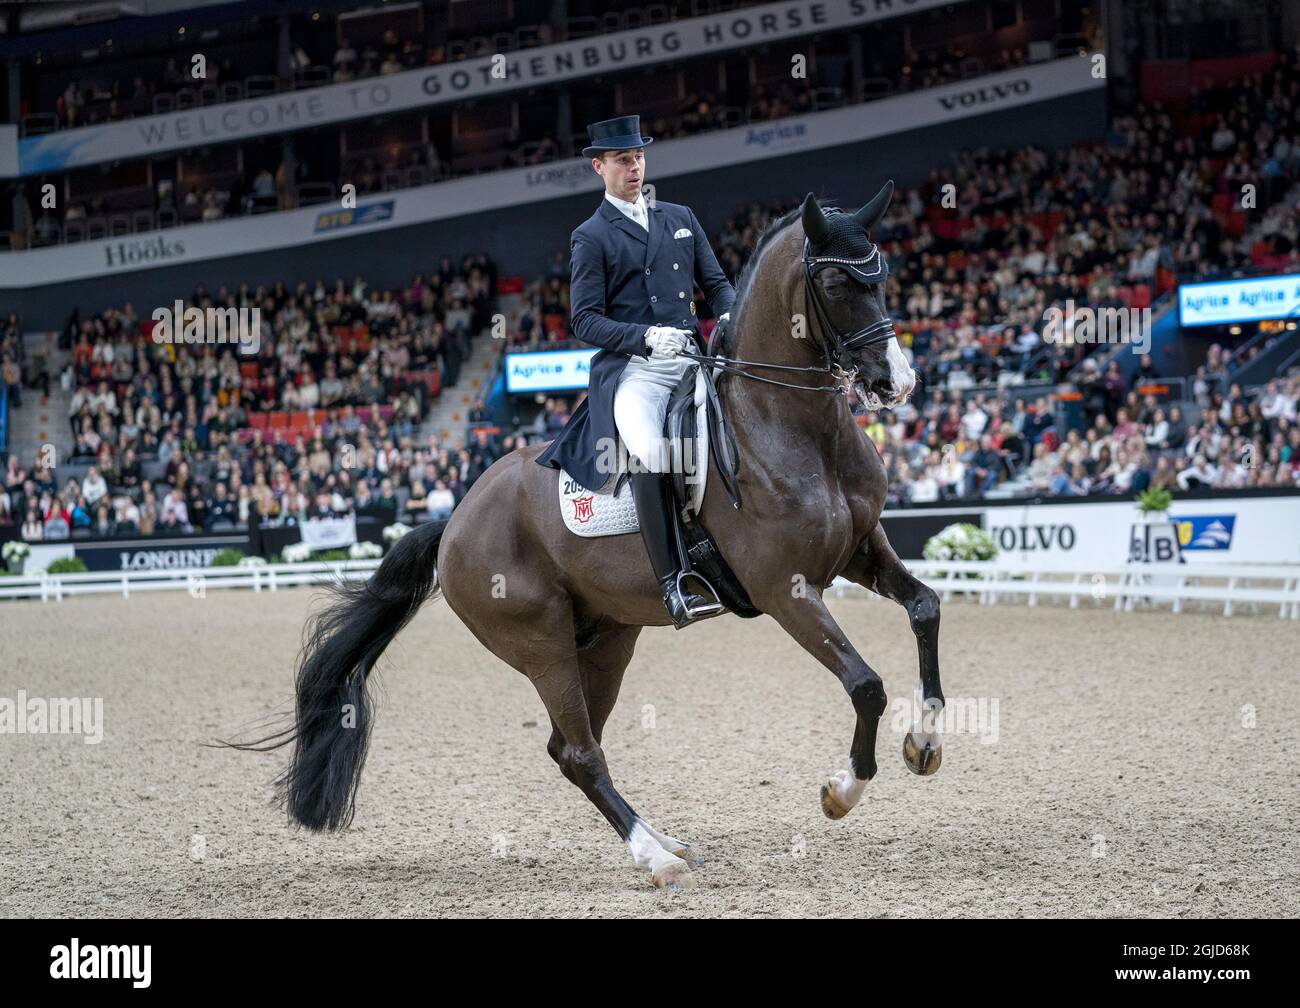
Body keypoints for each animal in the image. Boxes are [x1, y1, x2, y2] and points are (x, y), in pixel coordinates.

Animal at [236, 182, 946, 891]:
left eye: (883, 274)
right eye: (835, 282)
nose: (899, 381)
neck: (791, 427)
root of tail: (455, 521)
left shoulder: (861, 549)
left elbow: (925, 607)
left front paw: (926, 743)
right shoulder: (785, 591)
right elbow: (865, 684)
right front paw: (842, 791)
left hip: (607, 637)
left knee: (573, 747)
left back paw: (667, 842)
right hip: (543, 643)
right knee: (579, 752)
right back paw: (657, 858)